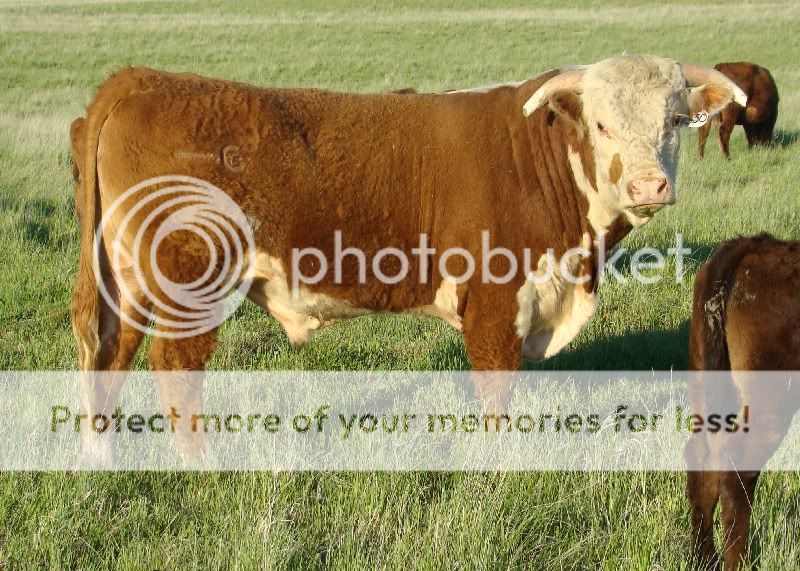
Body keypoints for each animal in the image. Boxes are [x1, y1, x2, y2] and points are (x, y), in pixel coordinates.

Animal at [70, 56, 745, 463]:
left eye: (676, 121)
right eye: (601, 124)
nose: (649, 185)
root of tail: (145, 78)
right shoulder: (496, 301)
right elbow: (496, 390)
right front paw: (498, 466)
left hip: (128, 278)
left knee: (112, 351)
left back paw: (102, 455)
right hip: (189, 280)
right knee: (173, 366)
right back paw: (202, 464)